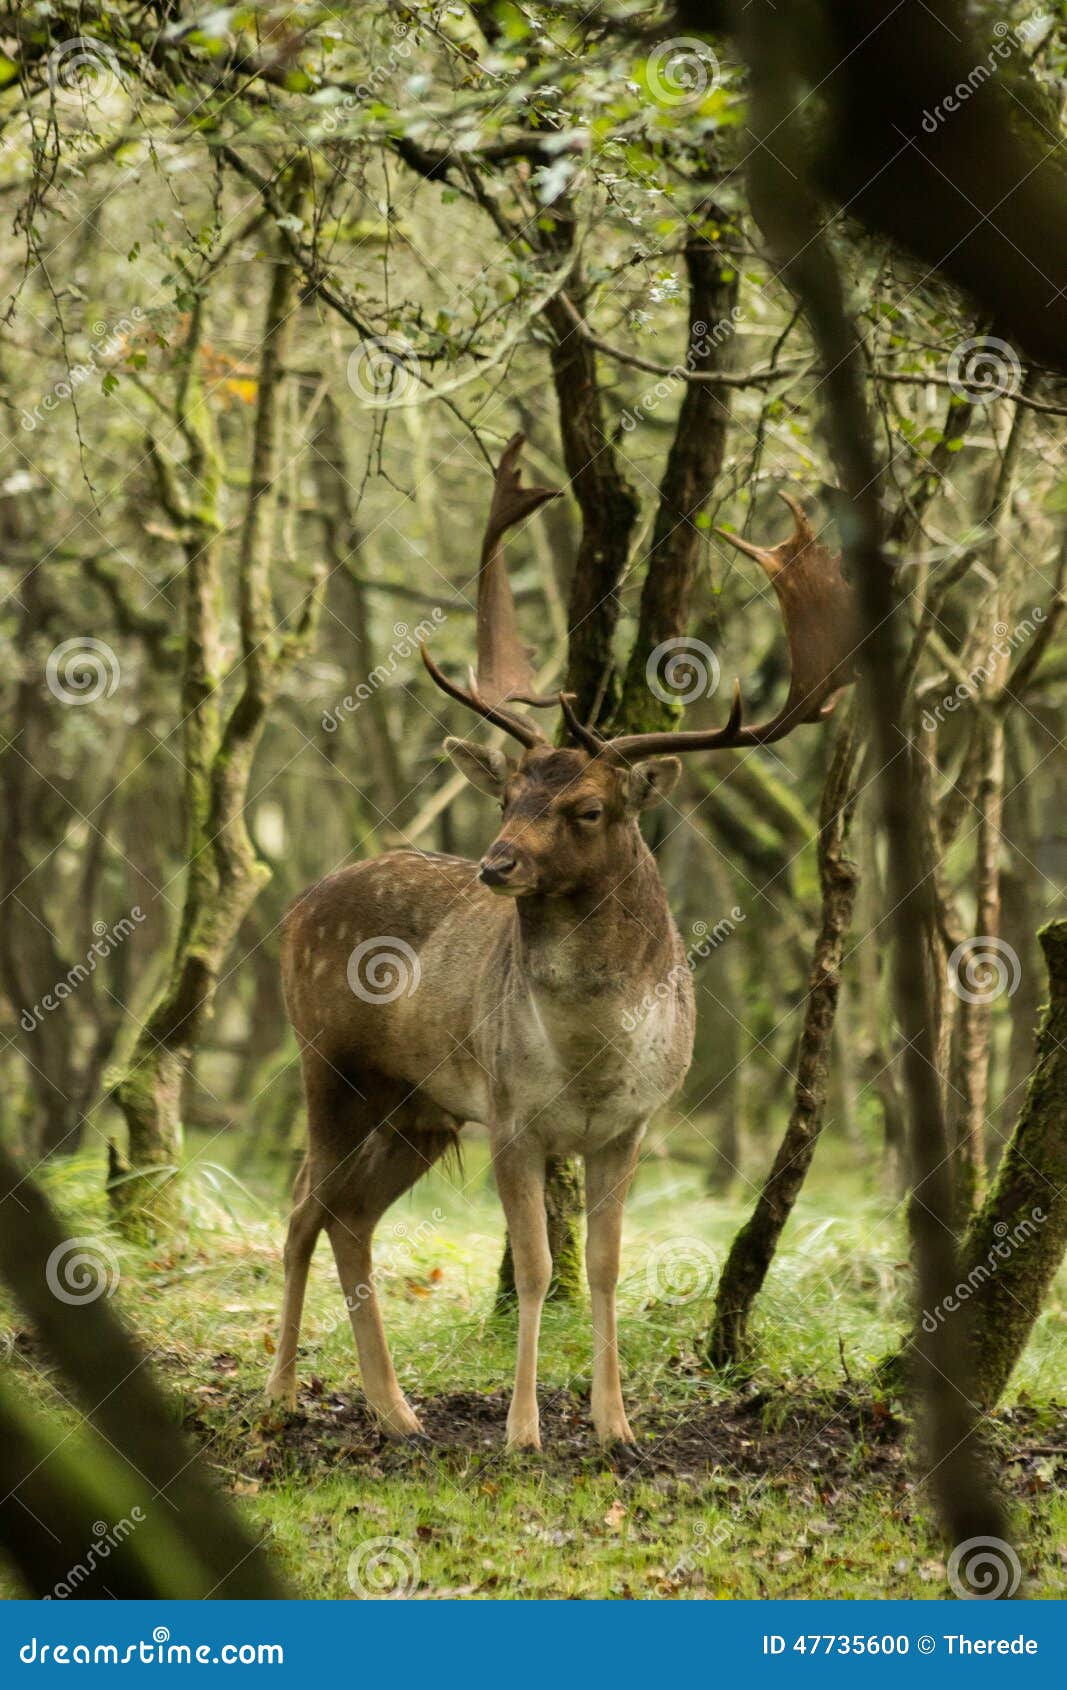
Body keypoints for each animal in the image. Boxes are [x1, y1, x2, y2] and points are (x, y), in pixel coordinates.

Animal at [266, 435, 857, 1451]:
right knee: (306, 1204)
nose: (495, 864)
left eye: (586, 808)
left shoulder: (633, 1124)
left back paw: (397, 1410)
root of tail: (296, 907)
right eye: (509, 795)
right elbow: (540, 1267)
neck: (589, 1059)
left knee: (349, 1216)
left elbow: (609, 1267)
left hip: (416, 1107)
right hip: (328, 1063)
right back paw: (279, 1397)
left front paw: (616, 1426)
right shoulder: (511, 1115)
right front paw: (523, 1430)